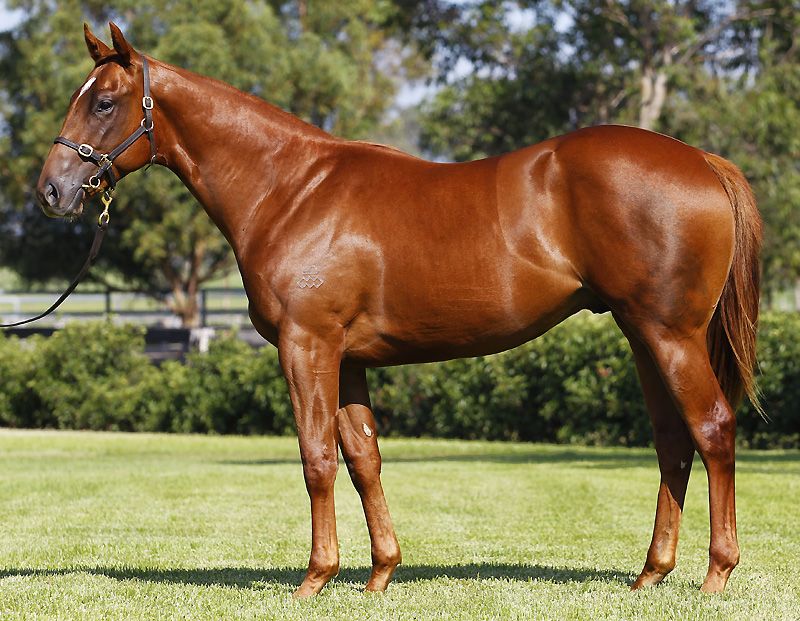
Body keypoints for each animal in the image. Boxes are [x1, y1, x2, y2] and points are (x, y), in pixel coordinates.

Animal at [37, 23, 761, 598]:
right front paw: (380, 572)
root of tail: (701, 159)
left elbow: (316, 458)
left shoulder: (307, 344)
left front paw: (315, 577)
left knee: (712, 428)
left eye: (103, 102)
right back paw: (650, 573)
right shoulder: (348, 358)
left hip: (669, 335)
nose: (51, 191)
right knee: (673, 442)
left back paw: (716, 573)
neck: (290, 189)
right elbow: (363, 459)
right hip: (642, 336)